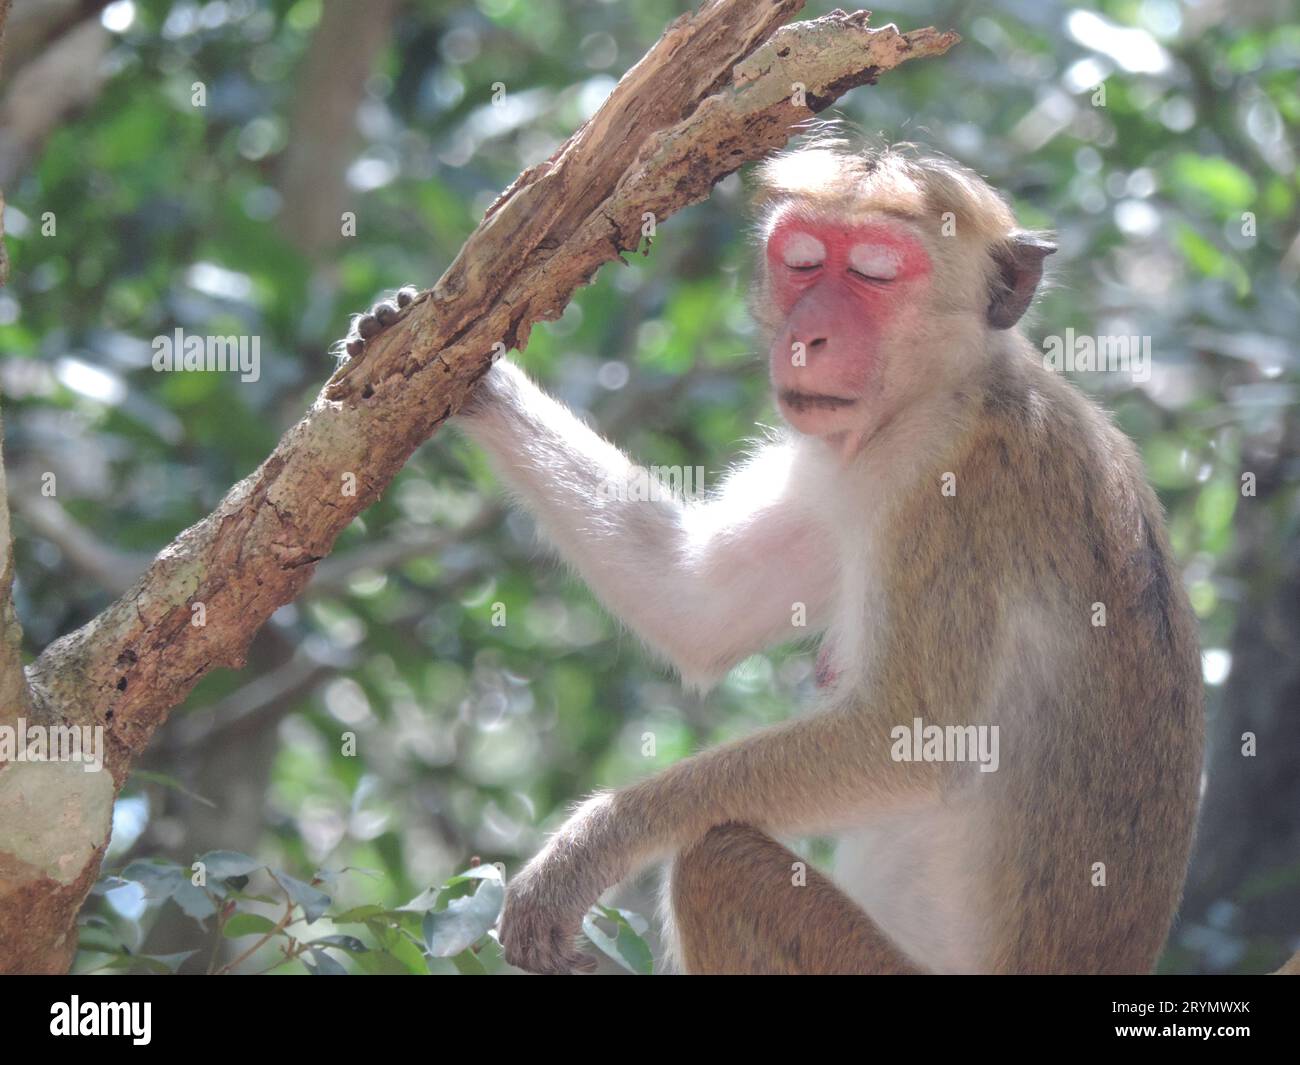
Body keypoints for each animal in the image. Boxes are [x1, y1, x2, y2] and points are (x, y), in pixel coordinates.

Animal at [376, 141, 1204, 974]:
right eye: (802, 261)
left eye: (874, 272)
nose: (808, 336)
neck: (942, 393)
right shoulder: (838, 470)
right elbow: (696, 603)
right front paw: (453, 366)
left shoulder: (963, 487)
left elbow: (913, 741)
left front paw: (596, 840)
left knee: (716, 860)